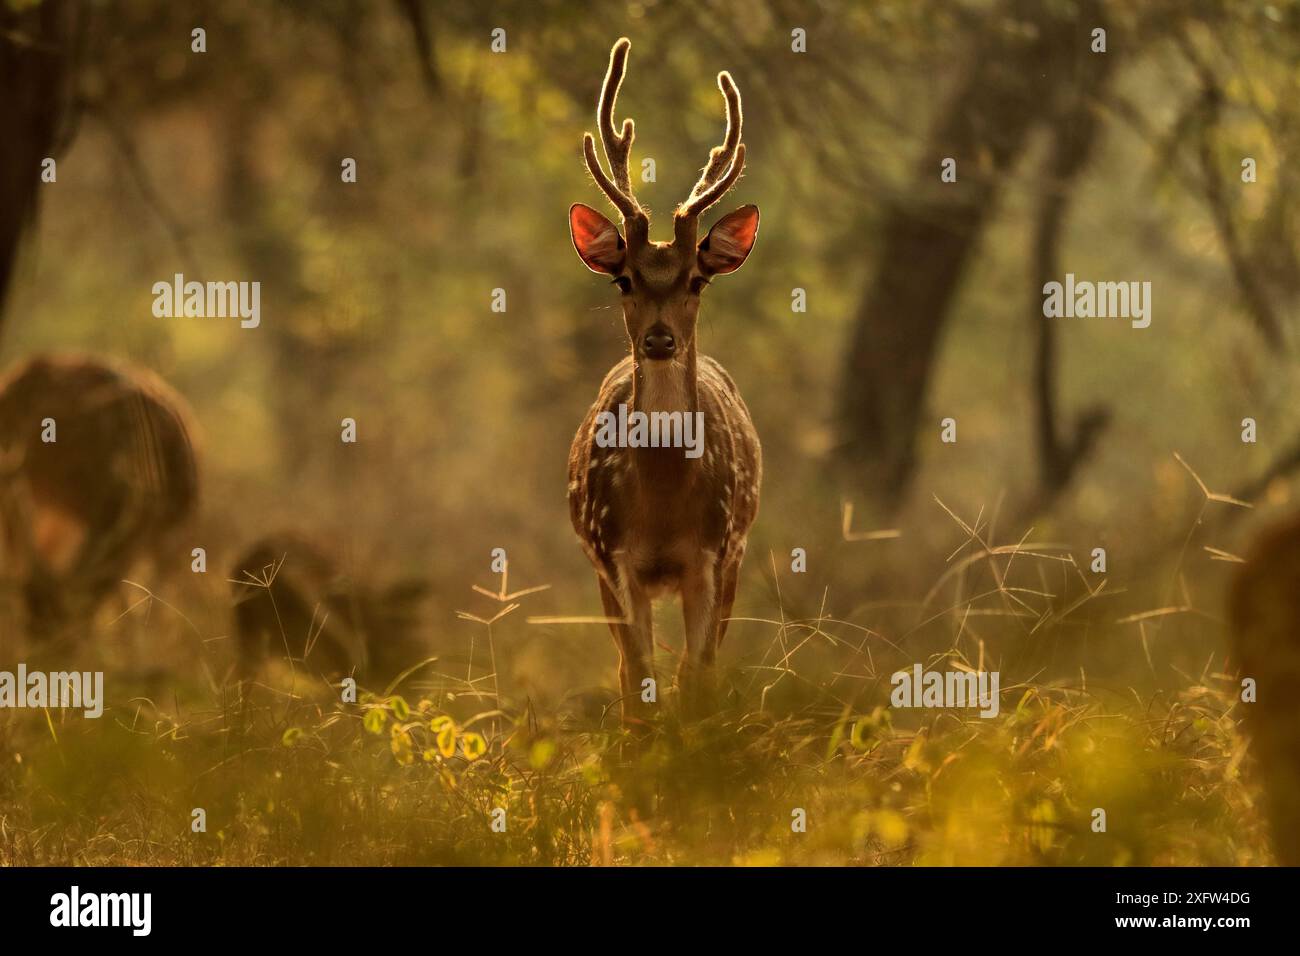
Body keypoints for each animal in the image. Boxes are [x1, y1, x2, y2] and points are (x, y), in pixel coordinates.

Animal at [567, 38, 761, 727]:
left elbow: (693, 673)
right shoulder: (614, 557)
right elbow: (641, 675)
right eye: (623, 278)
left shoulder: (712, 553)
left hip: (738, 552)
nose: (658, 339)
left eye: (696, 280)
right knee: (630, 671)